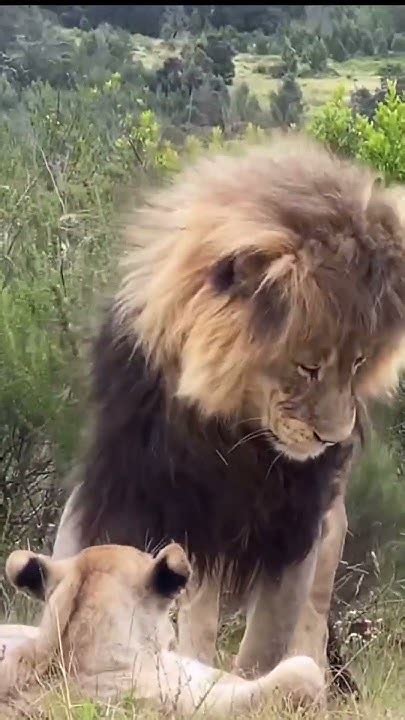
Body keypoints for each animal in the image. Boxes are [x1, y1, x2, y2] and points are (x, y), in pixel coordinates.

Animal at [51, 133, 405, 683]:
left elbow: (269, 637)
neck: (231, 431)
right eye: (307, 366)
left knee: (311, 616)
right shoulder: (134, 482)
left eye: (359, 362)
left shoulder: (297, 523)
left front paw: (264, 685)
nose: (334, 438)